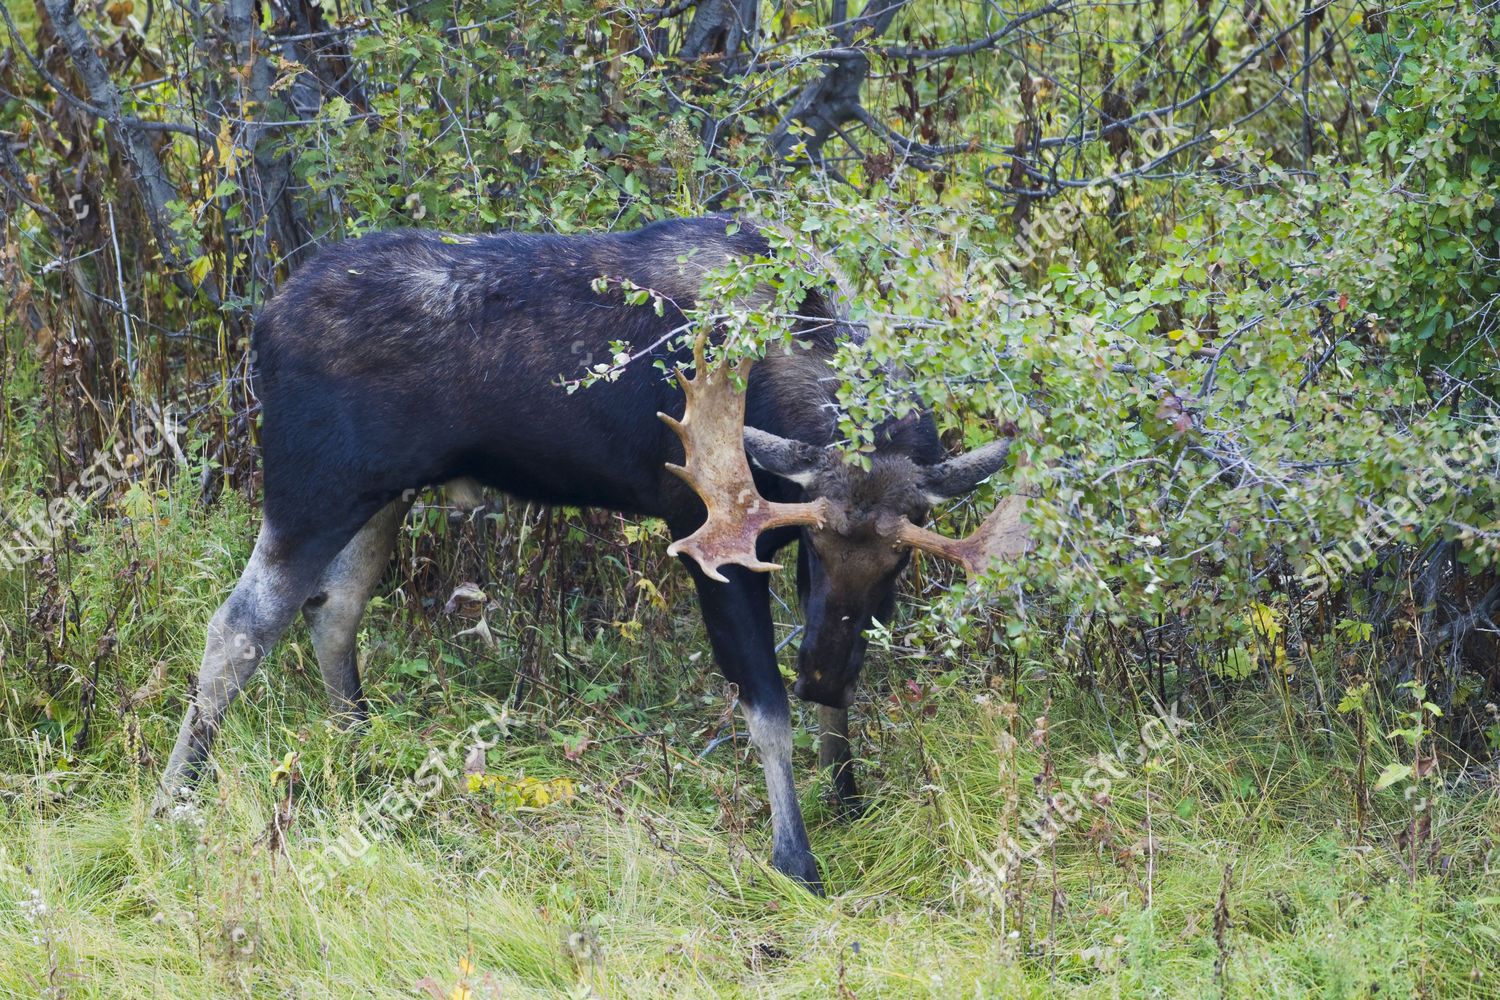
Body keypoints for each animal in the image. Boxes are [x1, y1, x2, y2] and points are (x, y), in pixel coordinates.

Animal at [155, 215, 1029, 891]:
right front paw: (796, 858)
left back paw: (362, 750)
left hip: (383, 493)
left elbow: (832, 700)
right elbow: (764, 706)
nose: (822, 672)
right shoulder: (704, 533)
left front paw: (848, 797)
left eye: (899, 561)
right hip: (314, 486)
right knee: (238, 625)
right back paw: (173, 798)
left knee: (332, 611)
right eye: (815, 535)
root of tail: (262, 321)